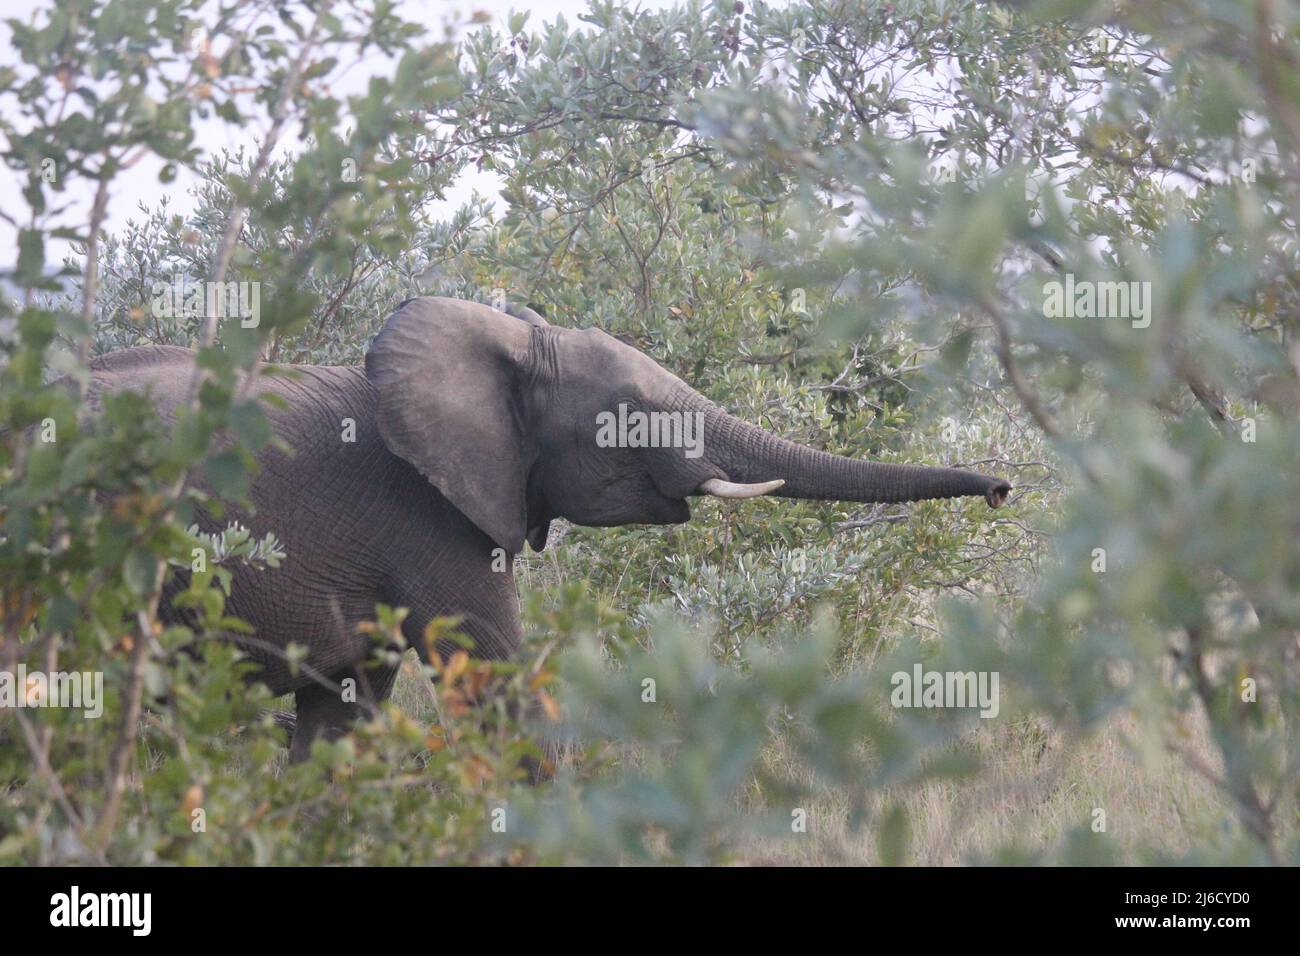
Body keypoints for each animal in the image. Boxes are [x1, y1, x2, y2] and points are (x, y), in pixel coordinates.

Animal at [88, 296, 1011, 760]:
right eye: (630, 412)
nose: (1004, 488)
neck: (513, 348)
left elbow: (340, 722)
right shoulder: (423, 514)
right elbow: (494, 684)